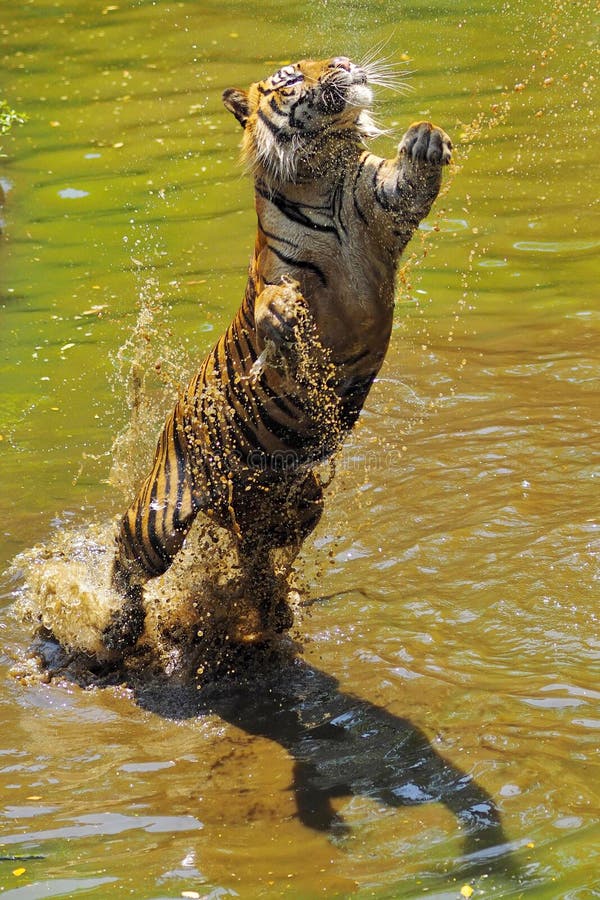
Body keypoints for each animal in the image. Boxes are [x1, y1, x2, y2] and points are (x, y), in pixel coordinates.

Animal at [104, 55, 452, 652]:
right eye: (291, 77)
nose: (344, 63)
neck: (328, 176)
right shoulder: (277, 271)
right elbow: (274, 296)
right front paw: (286, 315)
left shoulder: (387, 209)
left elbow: (409, 180)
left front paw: (427, 139)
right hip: (162, 514)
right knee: (126, 546)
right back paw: (111, 628)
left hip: (294, 502)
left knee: (260, 560)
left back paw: (267, 614)